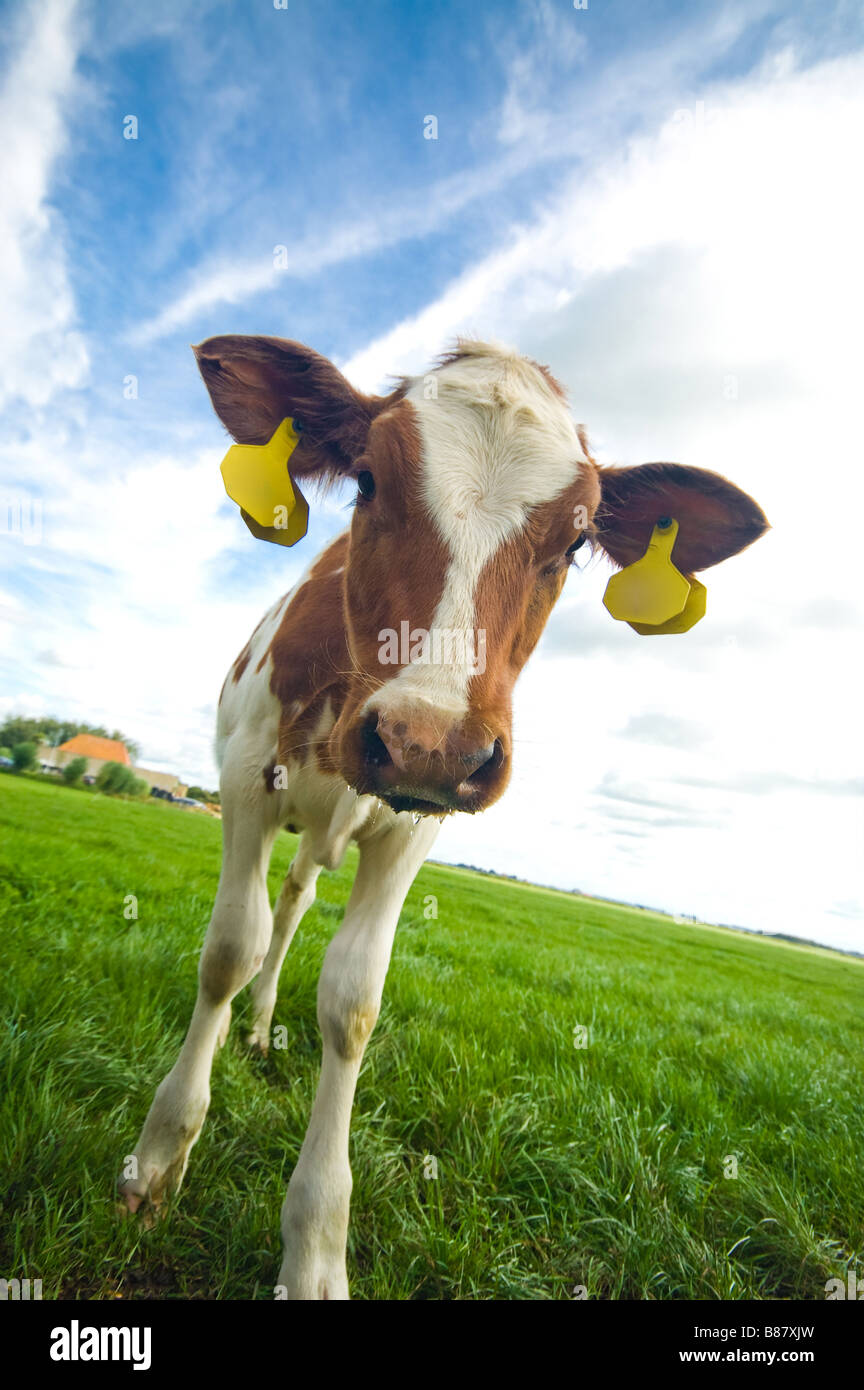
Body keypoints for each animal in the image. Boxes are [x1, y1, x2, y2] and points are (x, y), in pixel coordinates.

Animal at [118, 335, 767, 1298]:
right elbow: (228, 949)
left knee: (297, 905)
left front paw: (315, 1251)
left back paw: (265, 1027)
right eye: (368, 480)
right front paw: (160, 1158)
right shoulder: (244, 779)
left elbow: (351, 1002)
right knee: (273, 918)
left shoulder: (413, 826)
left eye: (577, 538)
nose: (427, 741)